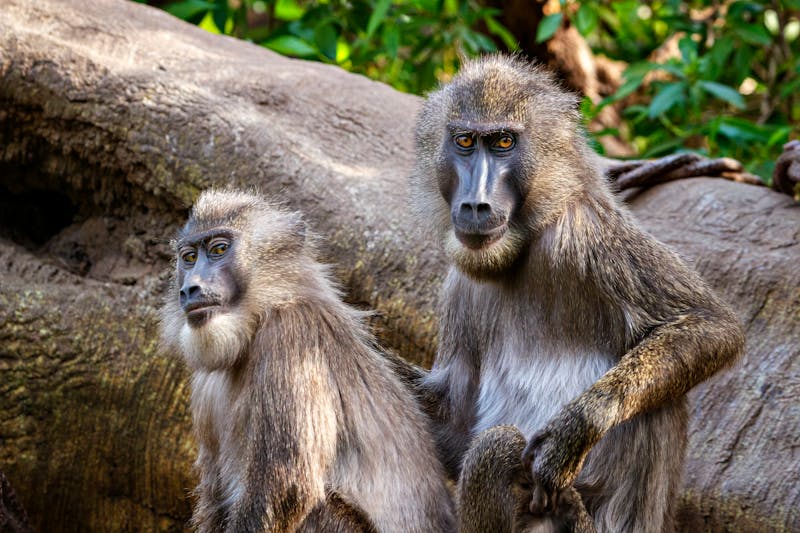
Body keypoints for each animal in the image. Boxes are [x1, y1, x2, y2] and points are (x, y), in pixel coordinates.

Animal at [160, 189, 456, 533]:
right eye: (189, 257)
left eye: (219, 249)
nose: (190, 288)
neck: (256, 322)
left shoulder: (289, 336)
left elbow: (286, 487)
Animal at [398, 55, 745, 532]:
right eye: (465, 141)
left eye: (503, 142)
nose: (475, 205)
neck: (524, 246)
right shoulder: (461, 289)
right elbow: (455, 428)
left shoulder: (586, 236)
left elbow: (711, 324)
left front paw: (573, 433)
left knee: (500, 447)